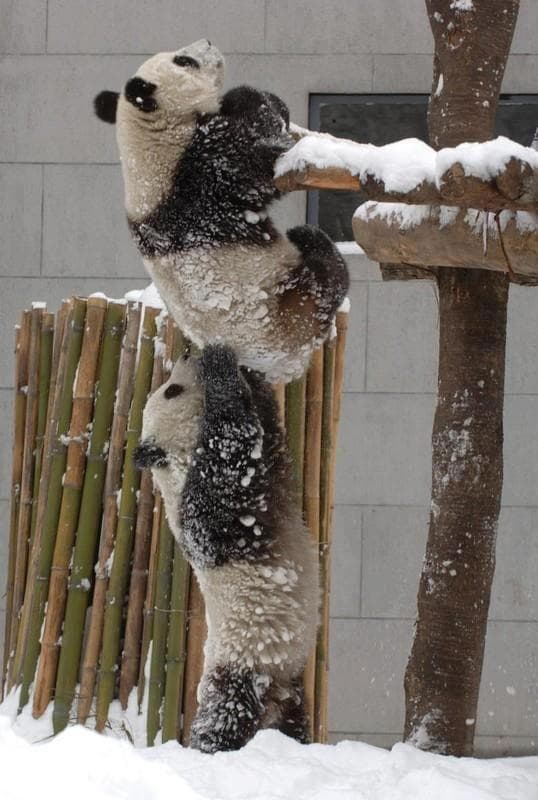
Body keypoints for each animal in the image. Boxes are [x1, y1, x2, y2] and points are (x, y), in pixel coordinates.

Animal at [94, 39, 349, 382]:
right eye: (184, 61)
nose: (208, 42)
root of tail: (280, 368)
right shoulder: (204, 171)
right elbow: (258, 150)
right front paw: (244, 97)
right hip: (291, 304)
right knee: (326, 276)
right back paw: (312, 241)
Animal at [134, 343, 319, 752]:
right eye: (172, 390)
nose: (187, 354)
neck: (174, 459)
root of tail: (273, 697)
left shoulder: (270, 464)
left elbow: (268, 428)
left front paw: (251, 374)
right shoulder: (208, 511)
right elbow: (232, 453)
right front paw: (220, 364)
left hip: (289, 678)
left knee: (293, 721)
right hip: (240, 663)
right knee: (225, 716)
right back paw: (209, 748)